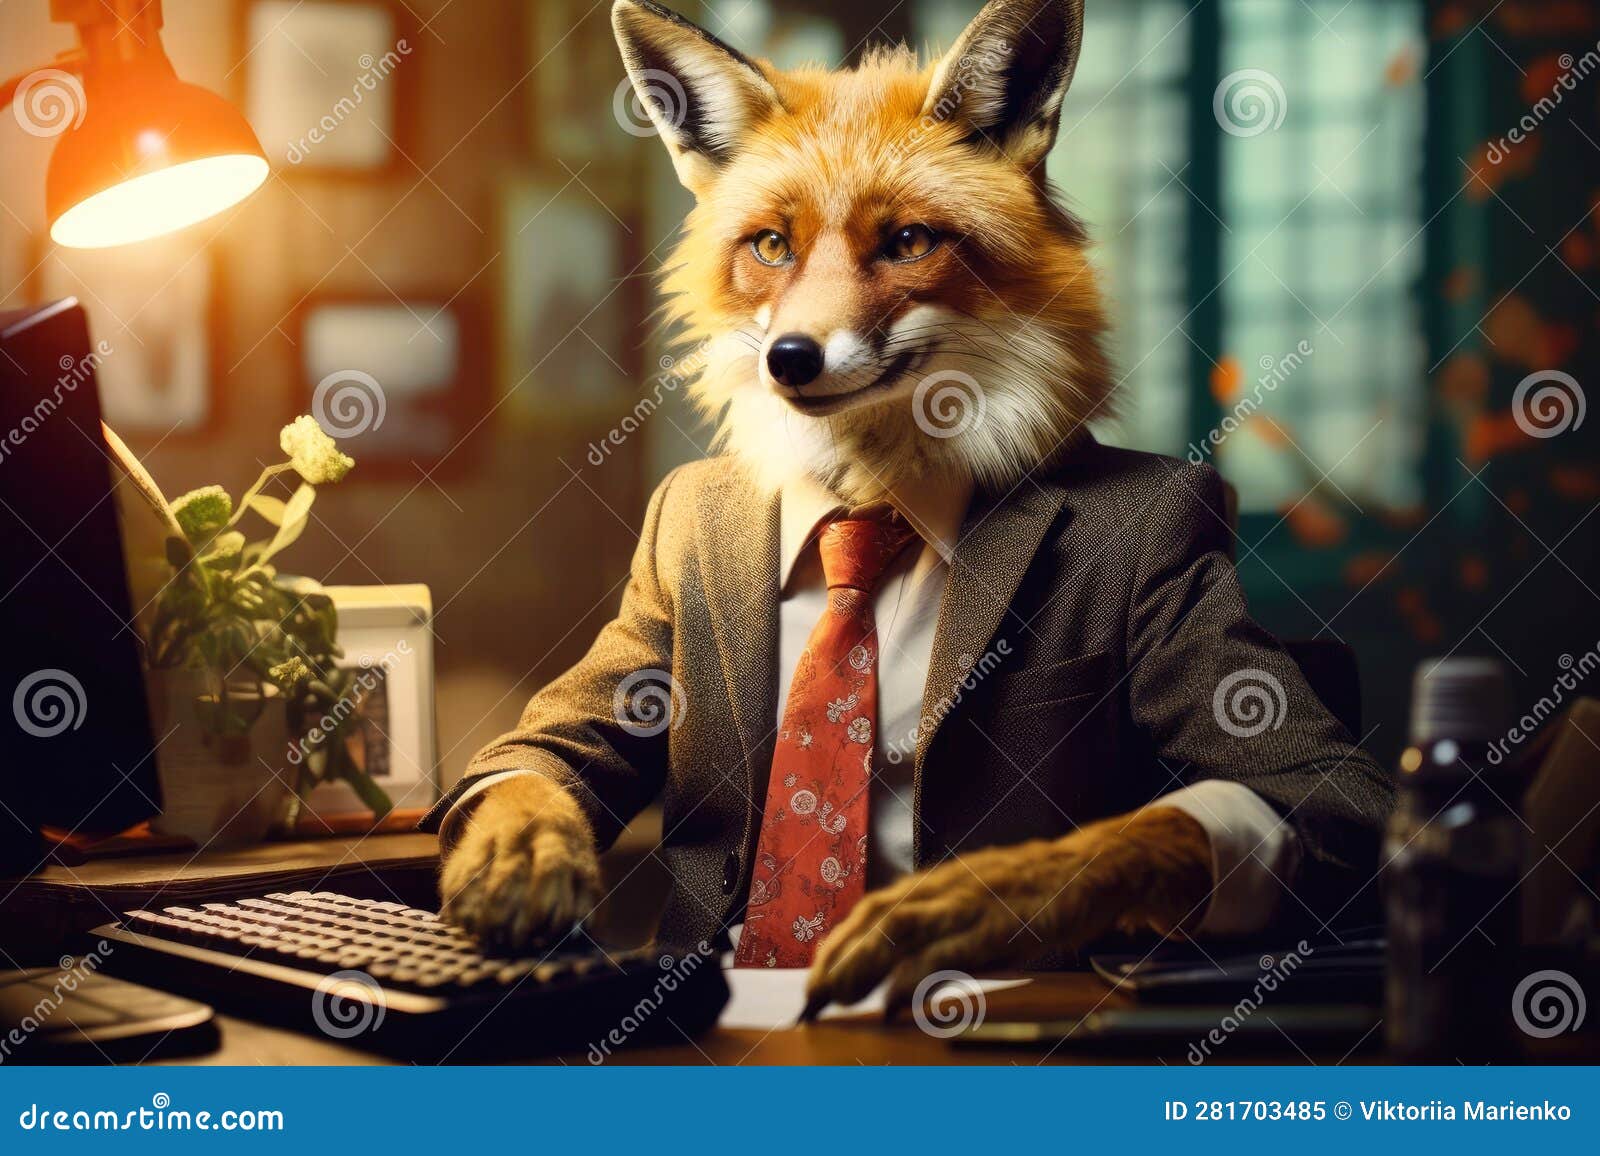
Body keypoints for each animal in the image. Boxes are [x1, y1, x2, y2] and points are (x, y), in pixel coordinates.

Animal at [436, 0, 1388, 1016]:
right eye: (771, 245)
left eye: (907, 242)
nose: (792, 359)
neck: (867, 495)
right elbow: (536, 758)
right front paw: (522, 851)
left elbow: (1263, 799)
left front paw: (971, 899)